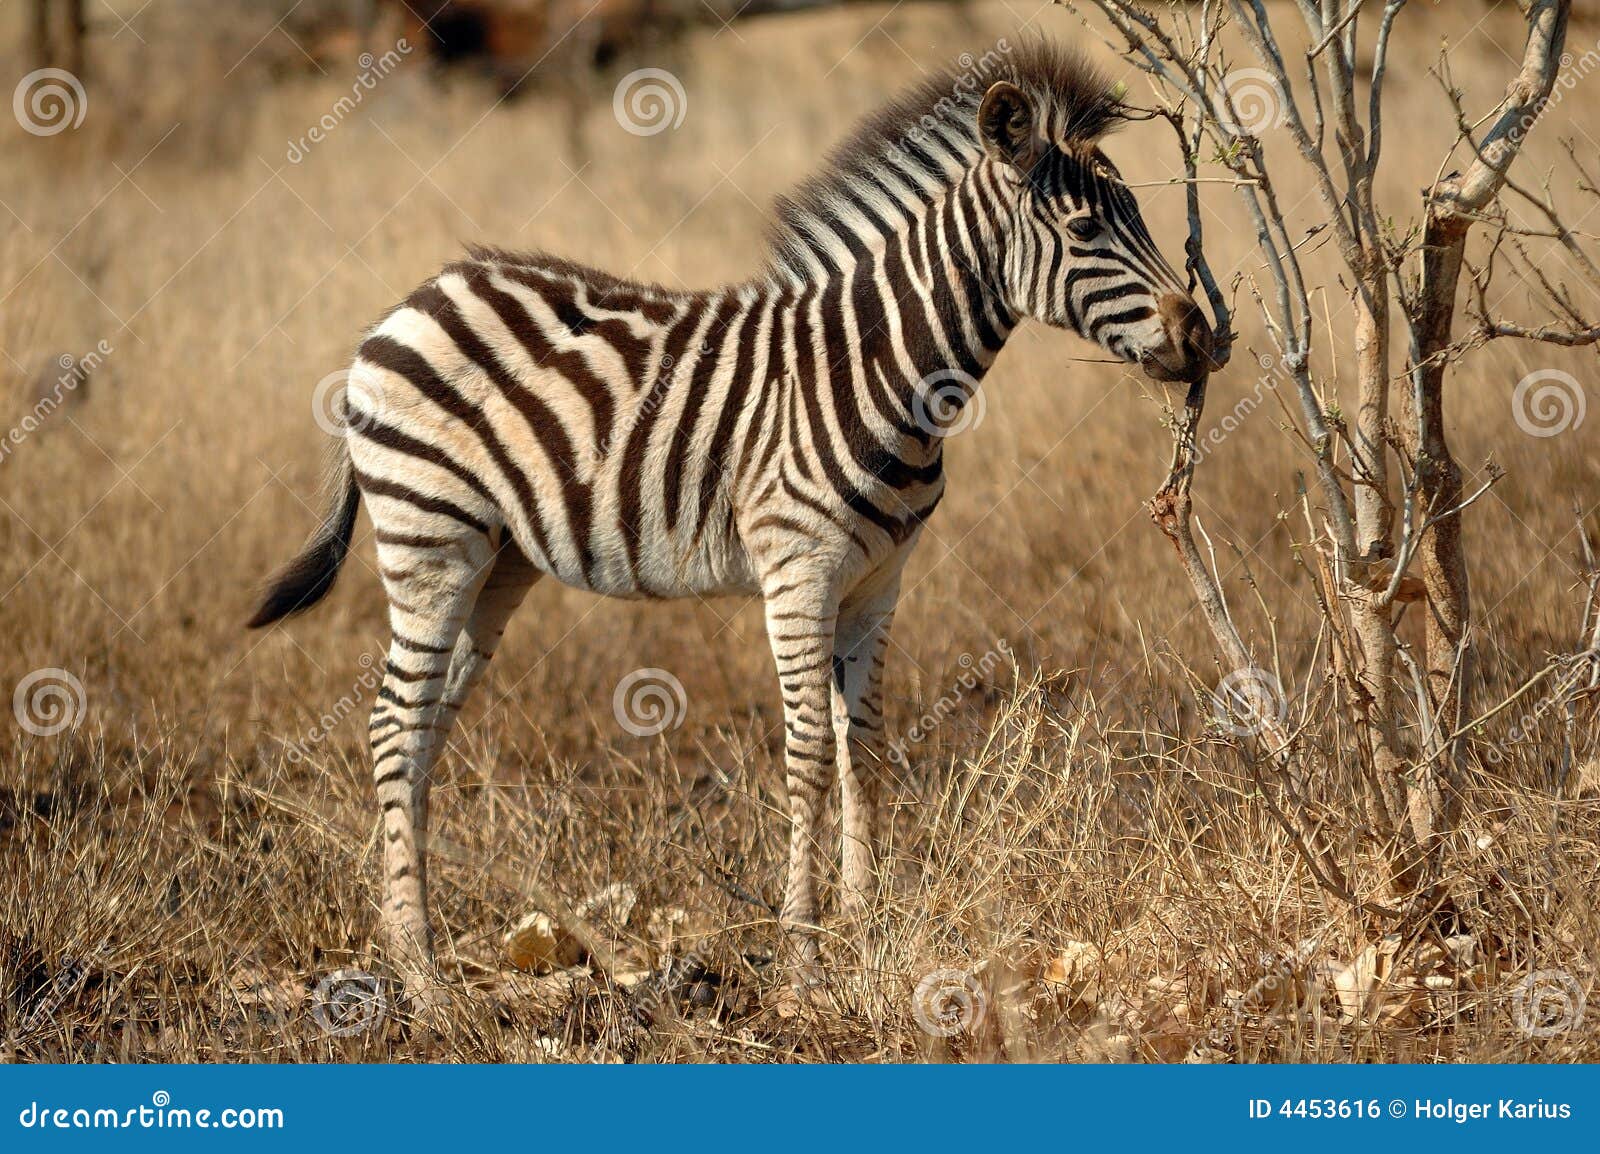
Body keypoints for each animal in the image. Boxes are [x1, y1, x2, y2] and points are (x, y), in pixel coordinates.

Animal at [247, 39, 1215, 1006]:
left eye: (1139, 214)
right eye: (1086, 231)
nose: (1203, 337)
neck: (884, 371)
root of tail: (407, 303)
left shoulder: (880, 581)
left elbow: (862, 746)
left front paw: (863, 929)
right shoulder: (799, 574)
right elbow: (807, 755)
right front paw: (803, 957)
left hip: (497, 560)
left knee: (425, 728)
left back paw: (415, 945)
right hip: (430, 537)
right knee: (390, 724)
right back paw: (420, 976)